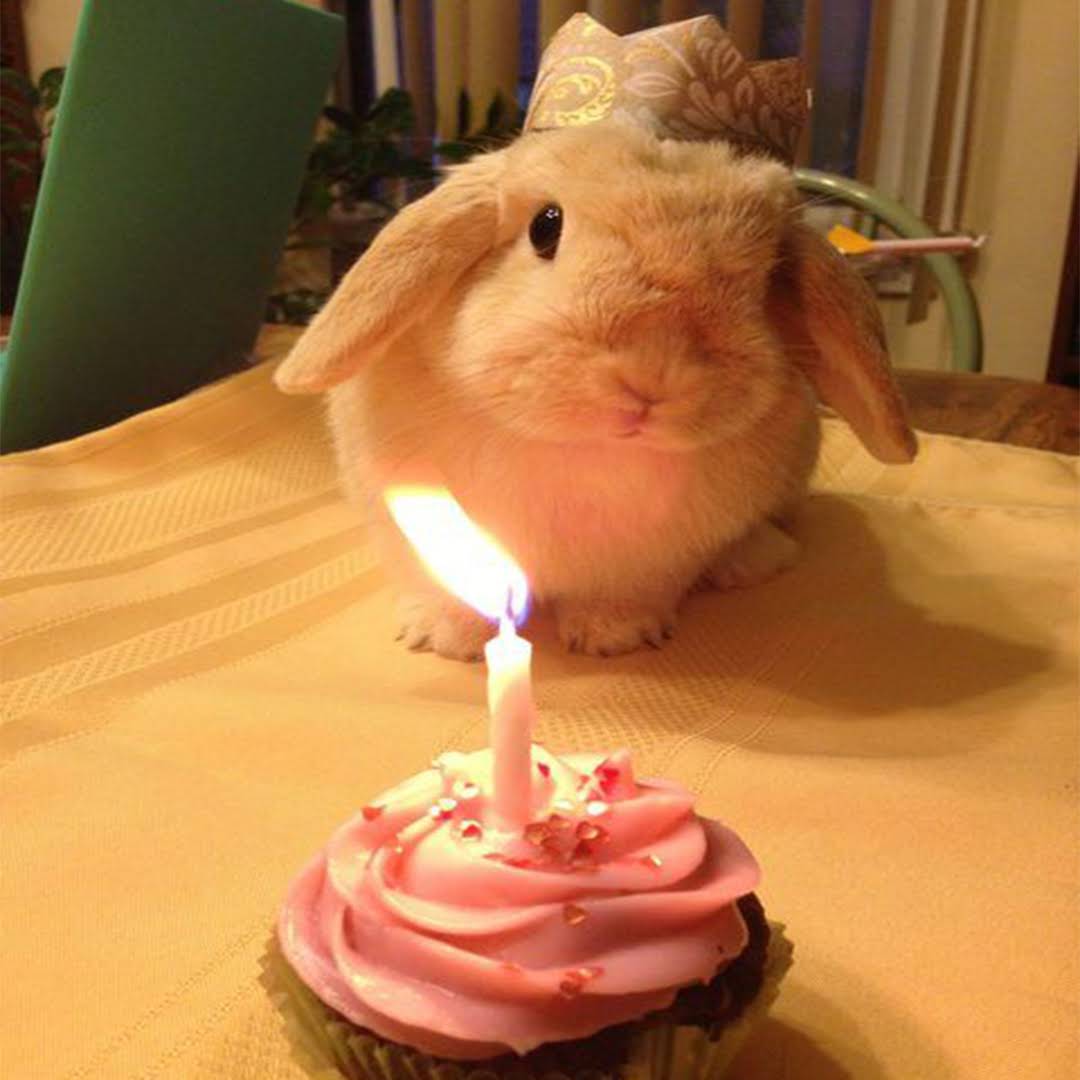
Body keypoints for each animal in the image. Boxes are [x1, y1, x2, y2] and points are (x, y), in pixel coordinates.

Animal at [274, 123, 915, 660]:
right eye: (545, 225)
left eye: (765, 276)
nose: (654, 373)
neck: (581, 448)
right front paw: (441, 638)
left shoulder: (655, 555)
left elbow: (626, 593)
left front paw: (613, 638)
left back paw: (751, 560)